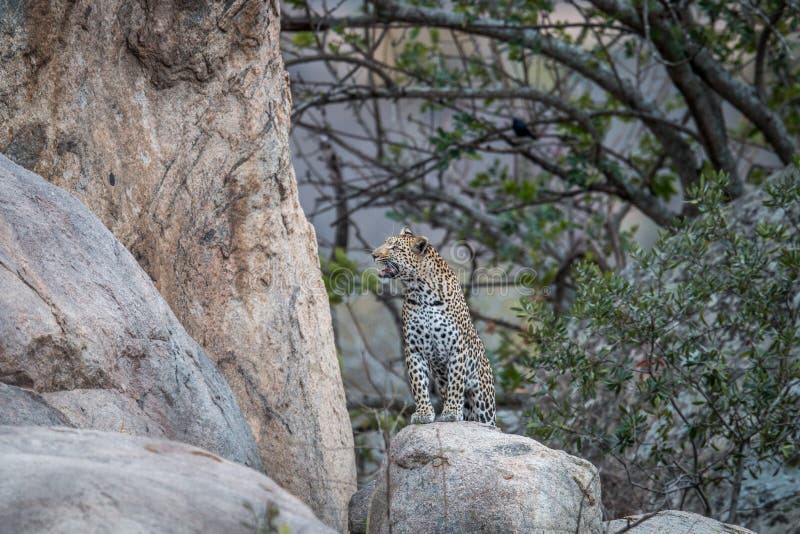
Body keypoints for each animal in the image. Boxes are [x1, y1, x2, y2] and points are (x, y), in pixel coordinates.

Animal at [372, 227, 496, 426]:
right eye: (385, 243)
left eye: (395, 247)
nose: (373, 255)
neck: (421, 291)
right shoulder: (414, 349)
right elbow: (418, 383)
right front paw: (423, 413)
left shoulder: (457, 346)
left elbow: (456, 382)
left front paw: (451, 412)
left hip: (483, 403)